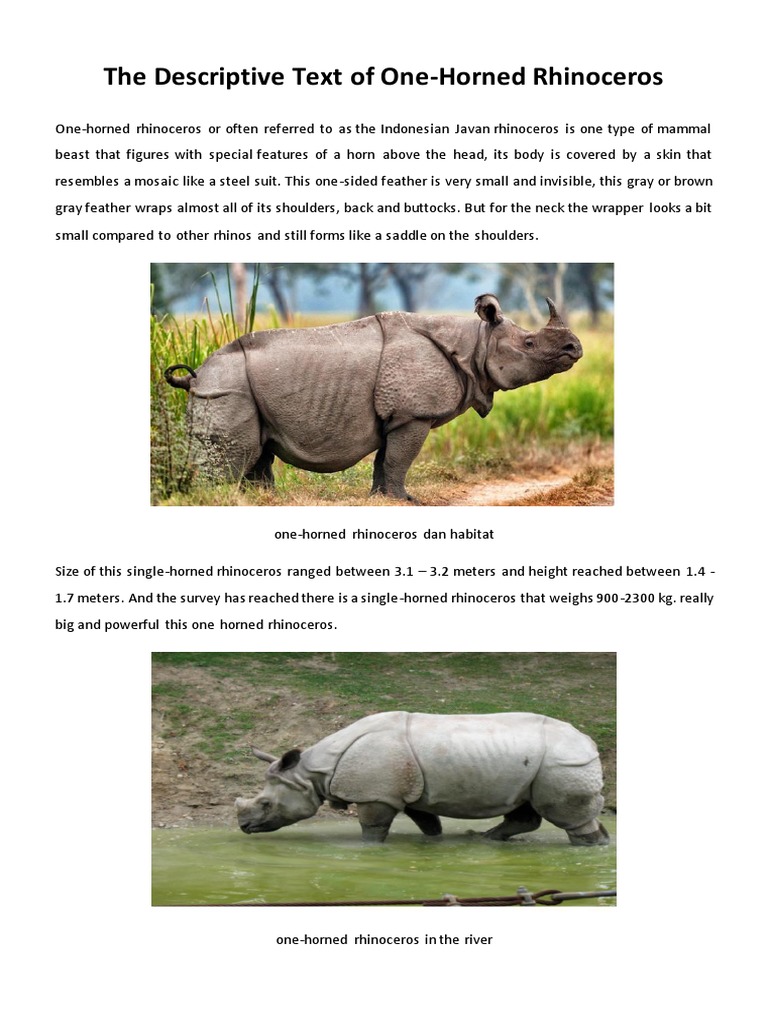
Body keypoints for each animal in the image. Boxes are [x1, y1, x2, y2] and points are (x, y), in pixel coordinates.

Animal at [165, 294, 582, 501]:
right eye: (529, 344)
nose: (574, 348)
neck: (474, 344)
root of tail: (196, 376)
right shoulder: (413, 414)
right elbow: (400, 459)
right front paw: (406, 501)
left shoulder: (397, 415)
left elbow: (386, 460)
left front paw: (383, 498)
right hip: (224, 388)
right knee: (235, 457)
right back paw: (217, 498)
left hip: (235, 388)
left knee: (259, 453)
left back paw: (262, 500)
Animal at [234, 711, 609, 845]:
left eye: (265, 803)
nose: (243, 827)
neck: (311, 771)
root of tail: (588, 741)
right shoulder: (404, 789)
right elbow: (426, 820)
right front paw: (434, 840)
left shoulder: (376, 795)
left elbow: (372, 828)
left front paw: (367, 848)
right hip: (539, 766)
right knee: (528, 806)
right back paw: (488, 838)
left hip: (562, 763)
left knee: (567, 814)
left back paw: (589, 846)